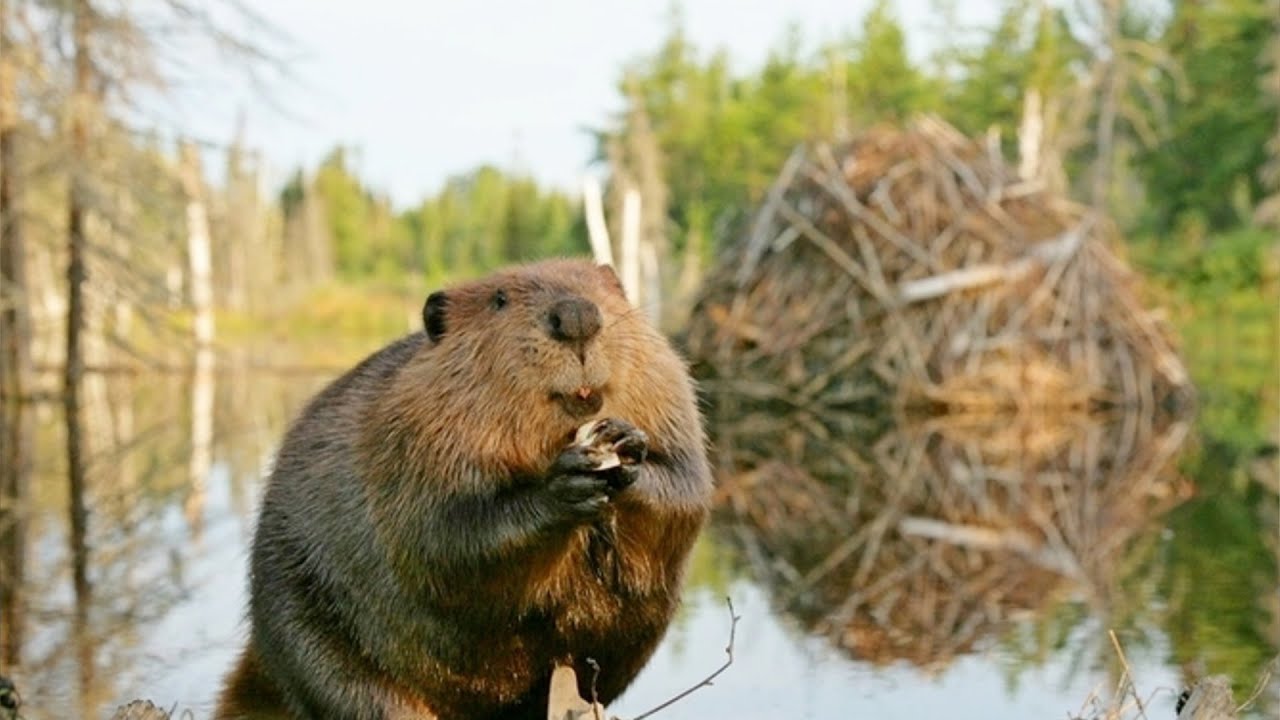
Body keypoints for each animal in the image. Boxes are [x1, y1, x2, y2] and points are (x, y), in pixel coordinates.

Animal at [216, 258, 716, 717]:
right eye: (500, 300)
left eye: (605, 287)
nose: (576, 316)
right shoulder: (410, 439)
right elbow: (448, 542)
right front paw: (563, 485)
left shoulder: (669, 393)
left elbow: (686, 491)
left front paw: (629, 450)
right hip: (312, 639)